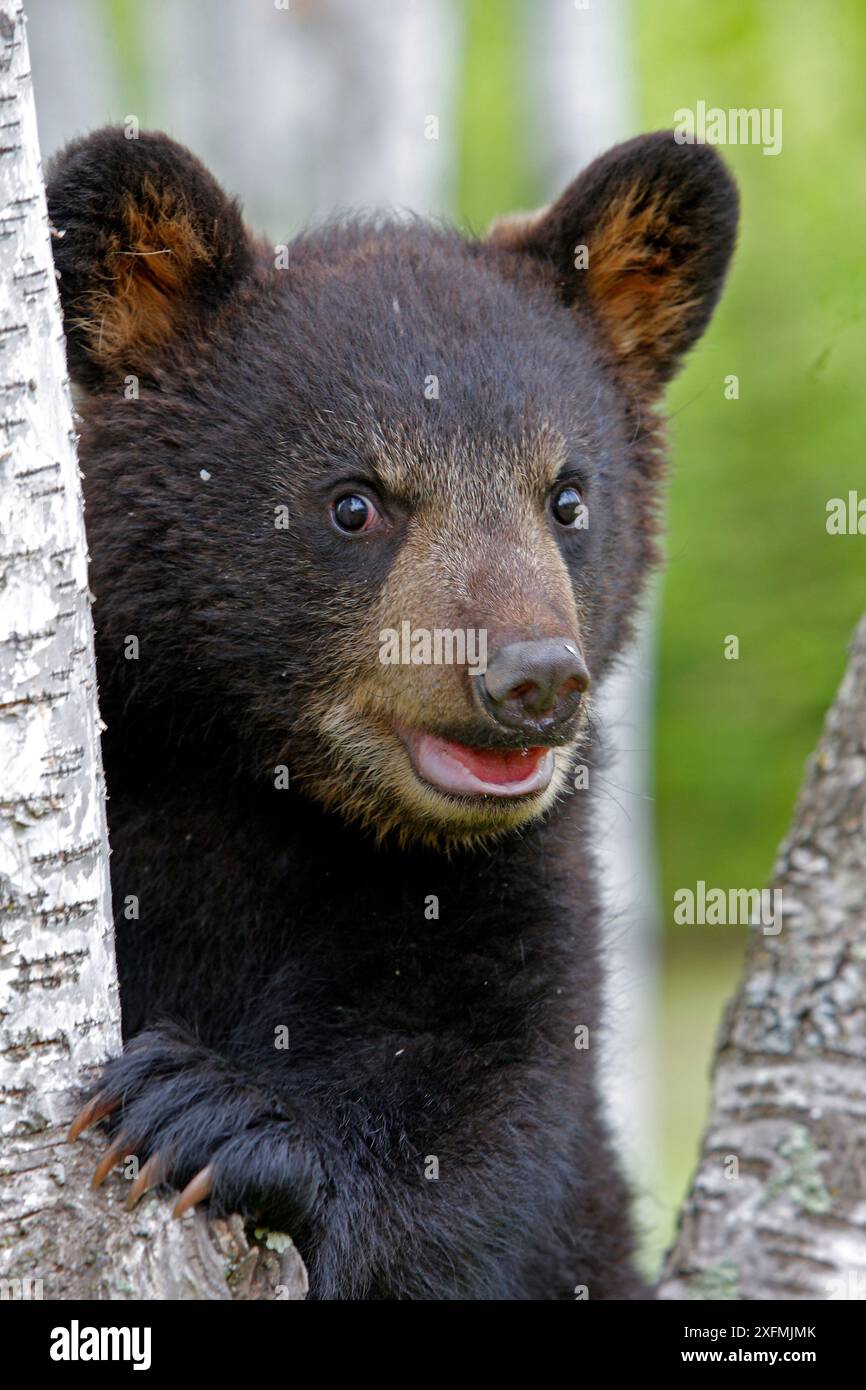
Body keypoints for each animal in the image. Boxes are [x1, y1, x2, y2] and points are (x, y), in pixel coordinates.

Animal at [48, 126, 738, 1300]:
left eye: (567, 497)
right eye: (354, 502)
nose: (531, 679)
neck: (255, 782)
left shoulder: (506, 882)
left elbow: (487, 1108)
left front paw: (213, 1112)